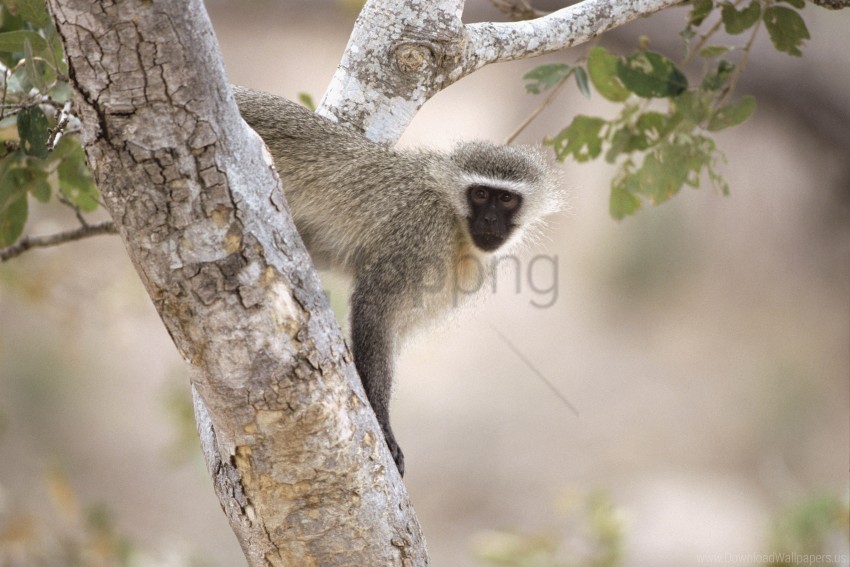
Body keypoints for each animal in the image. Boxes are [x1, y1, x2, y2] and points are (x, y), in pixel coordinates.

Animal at [233, 86, 563, 476]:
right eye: (481, 194)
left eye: (507, 199)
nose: (490, 222)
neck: (455, 221)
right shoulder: (421, 230)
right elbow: (375, 308)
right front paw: (383, 423)